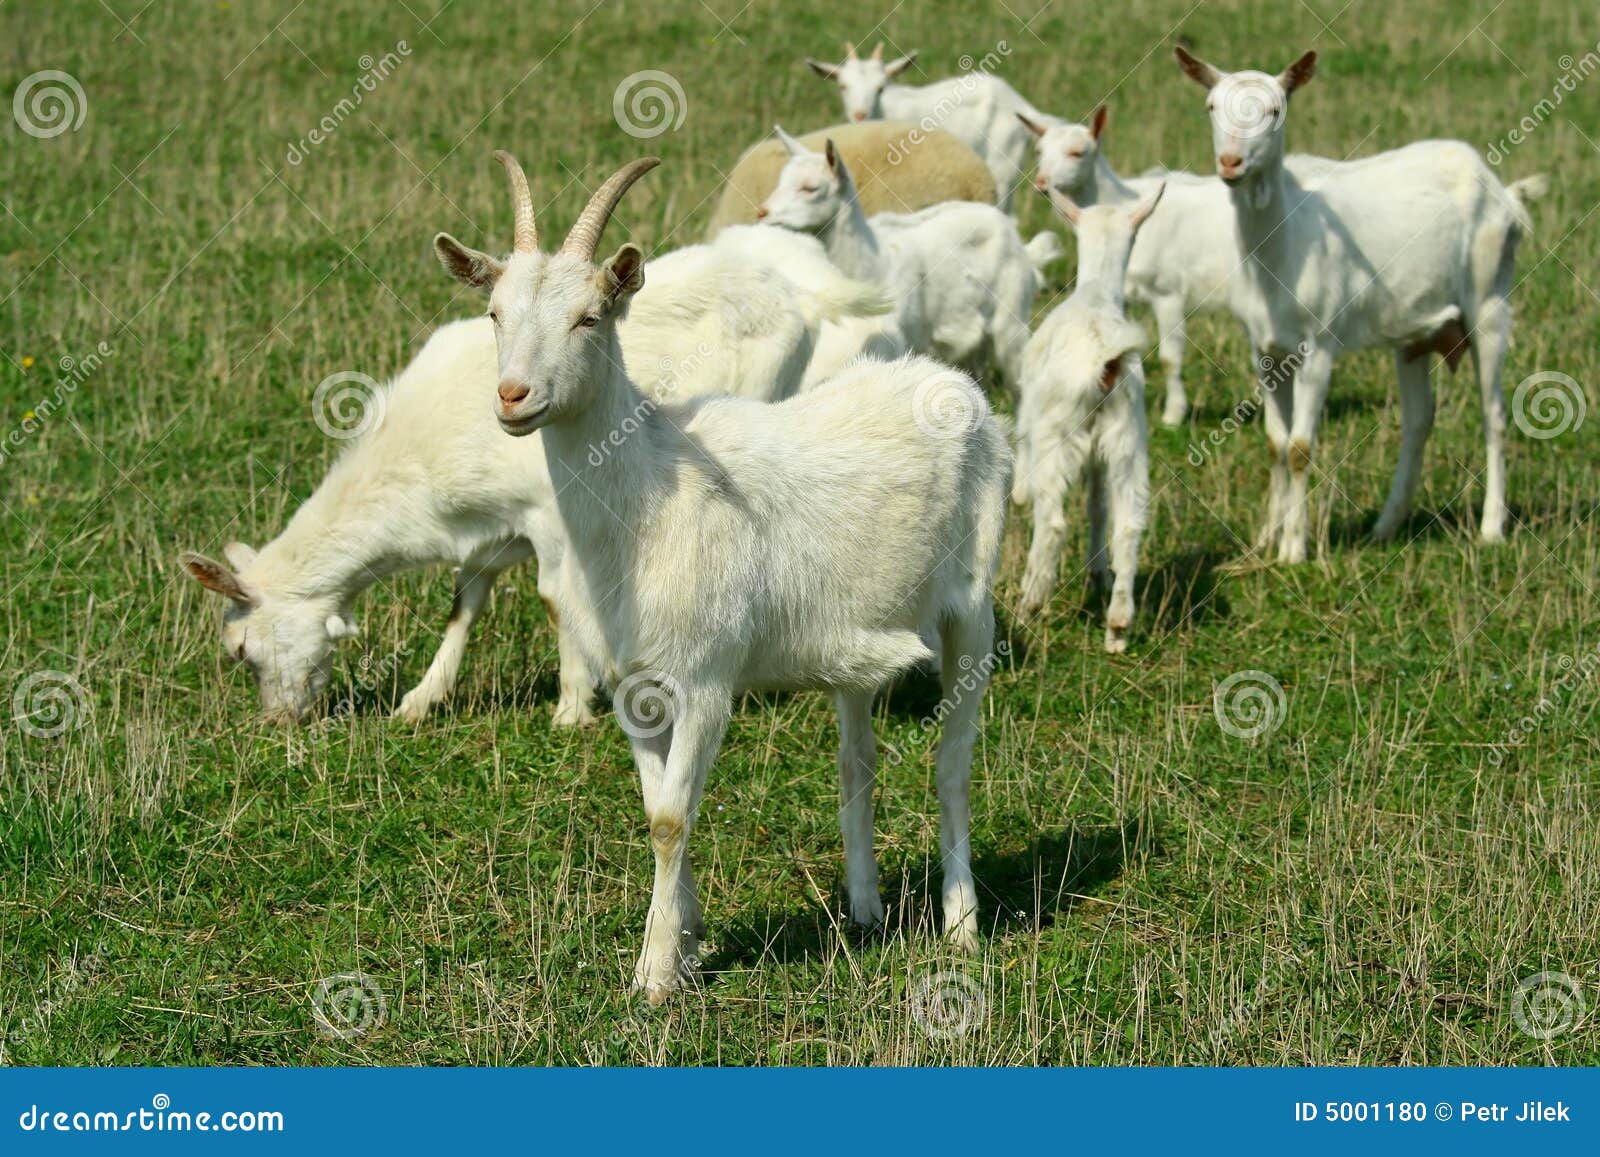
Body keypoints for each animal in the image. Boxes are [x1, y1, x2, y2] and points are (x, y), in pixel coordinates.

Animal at [434, 151, 1010, 1001]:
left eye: (590, 317)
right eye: (495, 313)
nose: (513, 396)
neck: (648, 493)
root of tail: (952, 380)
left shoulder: (705, 676)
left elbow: (672, 817)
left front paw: (653, 976)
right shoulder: (635, 686)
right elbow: (655, 805)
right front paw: (688, 937)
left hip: (971, 605)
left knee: (954, 764)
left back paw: (962, 922)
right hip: (857, 637)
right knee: (857, 759)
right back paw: (866, 907)